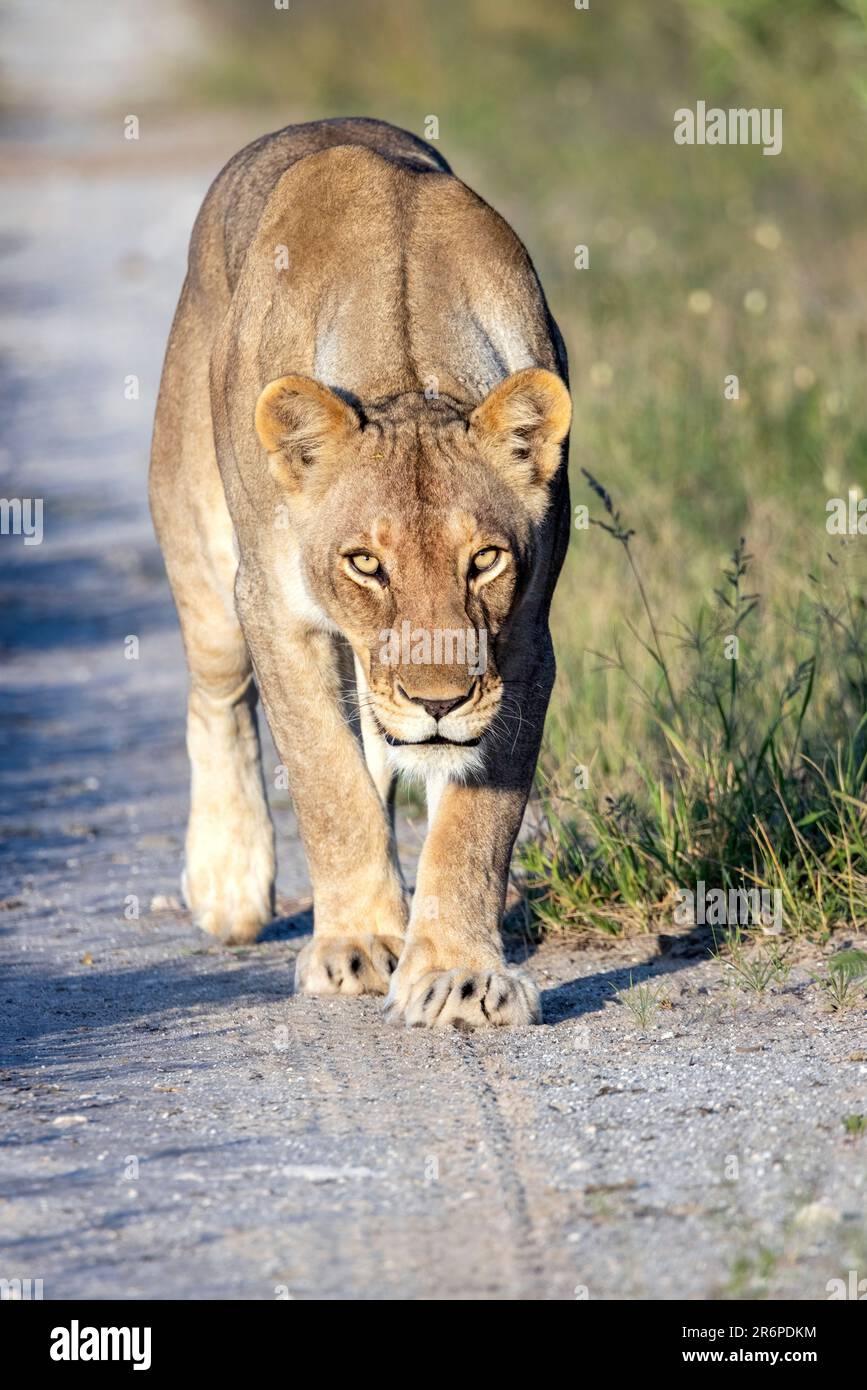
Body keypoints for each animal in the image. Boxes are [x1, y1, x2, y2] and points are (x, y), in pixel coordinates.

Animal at [149, 118, 571, 1028]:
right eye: (366, 564)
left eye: (484, 559)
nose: (439, 703)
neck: (407, 365)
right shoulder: (274, 611)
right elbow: (326, 783)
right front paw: (356, 945)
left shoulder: (522, 637)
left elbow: (477, 821)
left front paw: (457, 974)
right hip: (203, 550)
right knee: (216, 694)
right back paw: (228, 885)